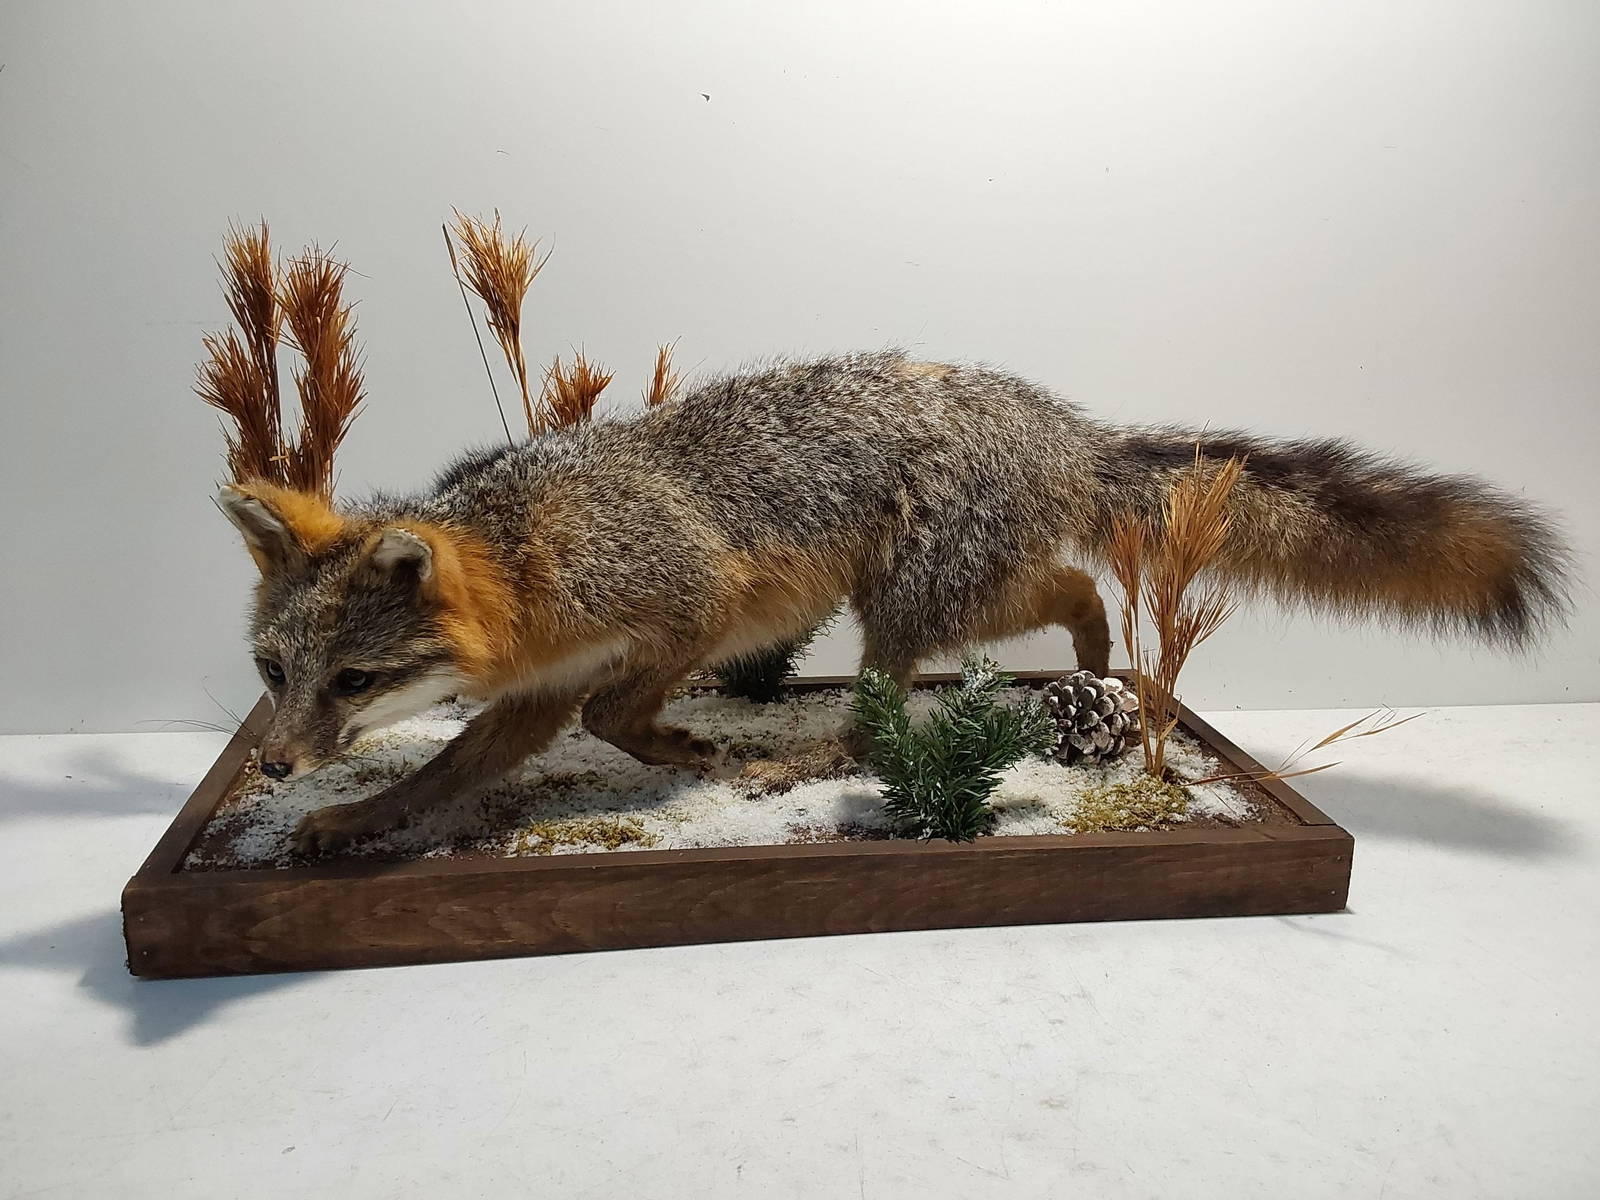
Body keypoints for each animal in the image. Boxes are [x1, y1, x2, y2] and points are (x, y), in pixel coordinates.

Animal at [216, 350, 1571, 854]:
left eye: (354, 679)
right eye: (273, 676)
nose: (270, 765)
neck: (534, 556)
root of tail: (1057, 425)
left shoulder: (692, 606)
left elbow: (623, 716)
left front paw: (704, 753)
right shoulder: (537, 690)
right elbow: (454, 769)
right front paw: (354, 821)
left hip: (911, 608)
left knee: (995, 632)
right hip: (943, 600)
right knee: (1071, 585)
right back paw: (1100, 683)